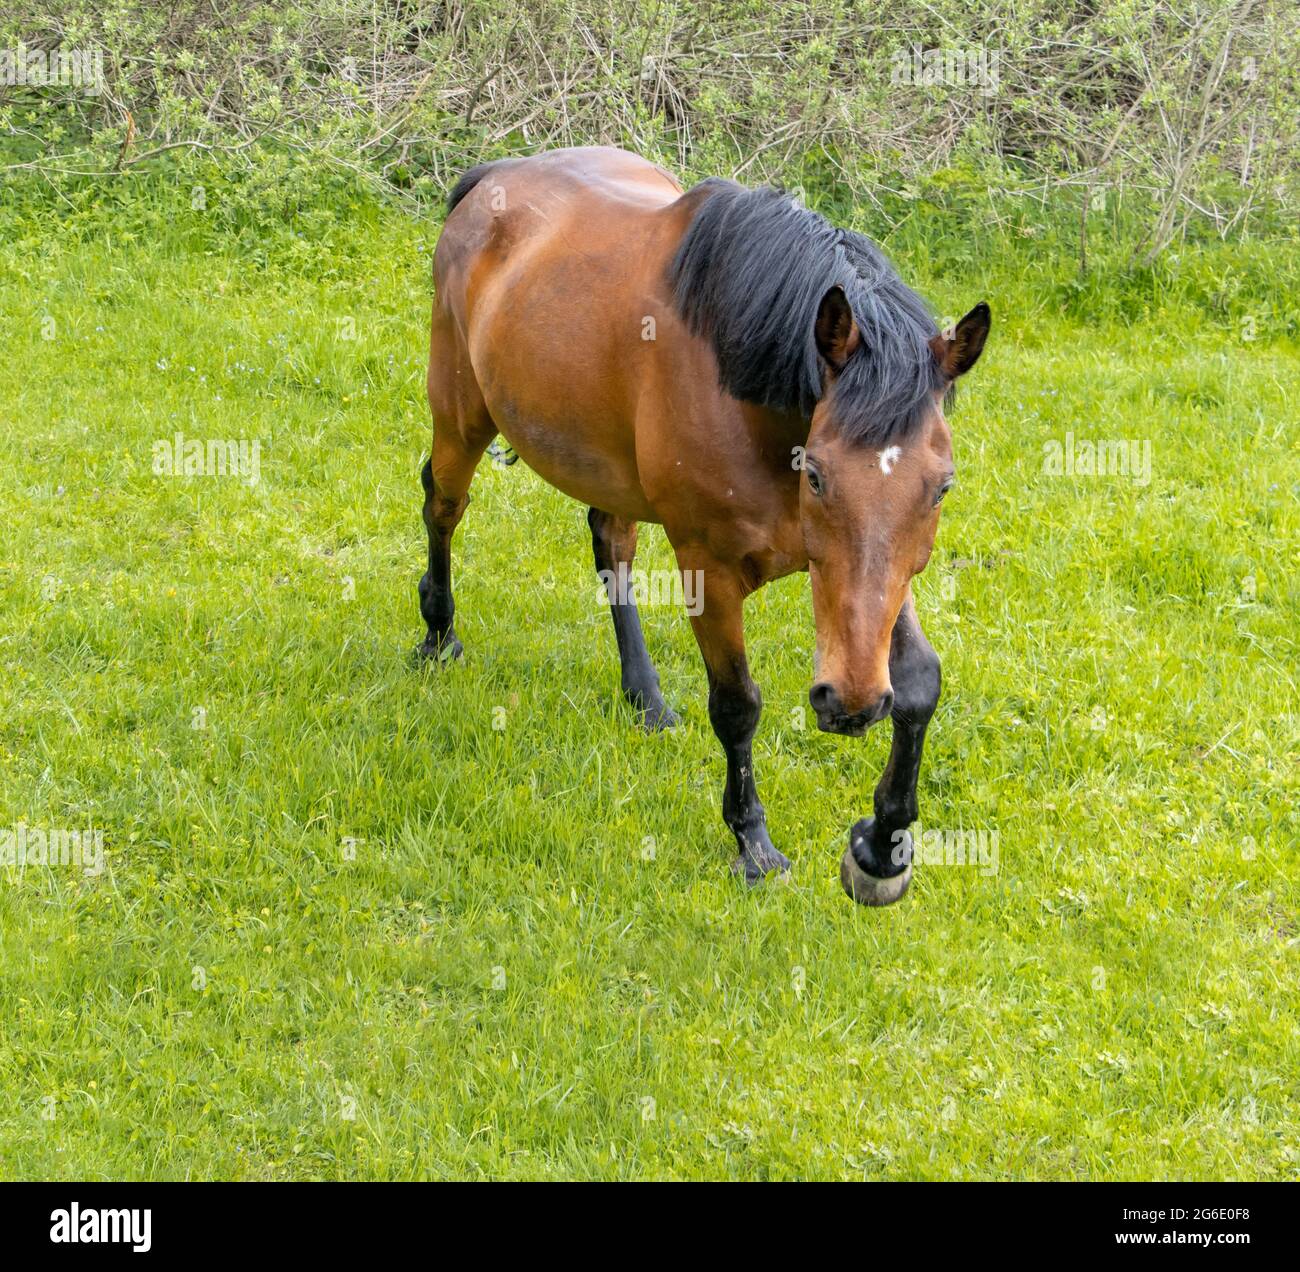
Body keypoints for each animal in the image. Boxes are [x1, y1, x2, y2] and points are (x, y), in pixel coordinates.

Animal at [419, 147, 989, 905]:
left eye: (941, 486)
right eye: (817, 475)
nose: (850, 705)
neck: (755, 398)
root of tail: (495, 175)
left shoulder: (872, 577)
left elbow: (921, 682)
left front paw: (882, 848)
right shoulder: (709, 570)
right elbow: (738, 704)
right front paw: (753, 842)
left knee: (611, 544)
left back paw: (646, 697)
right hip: (460, 415)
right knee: (443, 507)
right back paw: (438, 632)